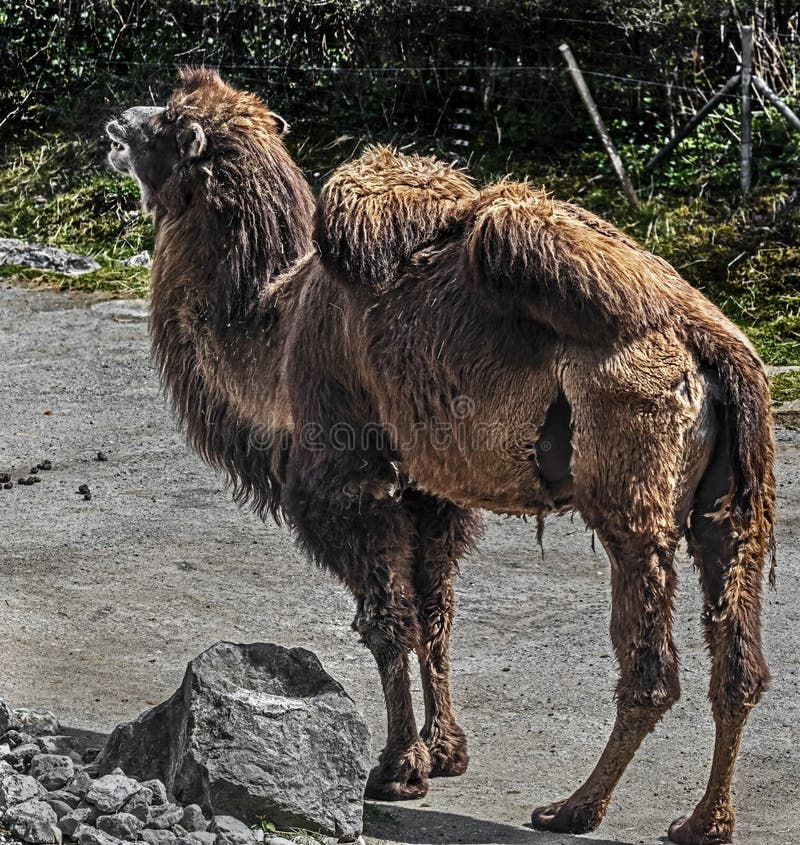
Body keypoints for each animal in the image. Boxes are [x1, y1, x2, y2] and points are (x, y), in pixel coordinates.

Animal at [106, 69, 776, 845]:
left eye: (166, 123)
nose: (115, 122)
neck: (277, 328)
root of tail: (707, 335)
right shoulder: (433, 487)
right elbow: (436, 611)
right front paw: (446, 749)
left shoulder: (345, 475)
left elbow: (386, 619)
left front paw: (398, 767)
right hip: (733, 498)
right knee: (738, 657)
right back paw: (703, 821)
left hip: (630, 473)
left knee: (650, 665)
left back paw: (573, 808)